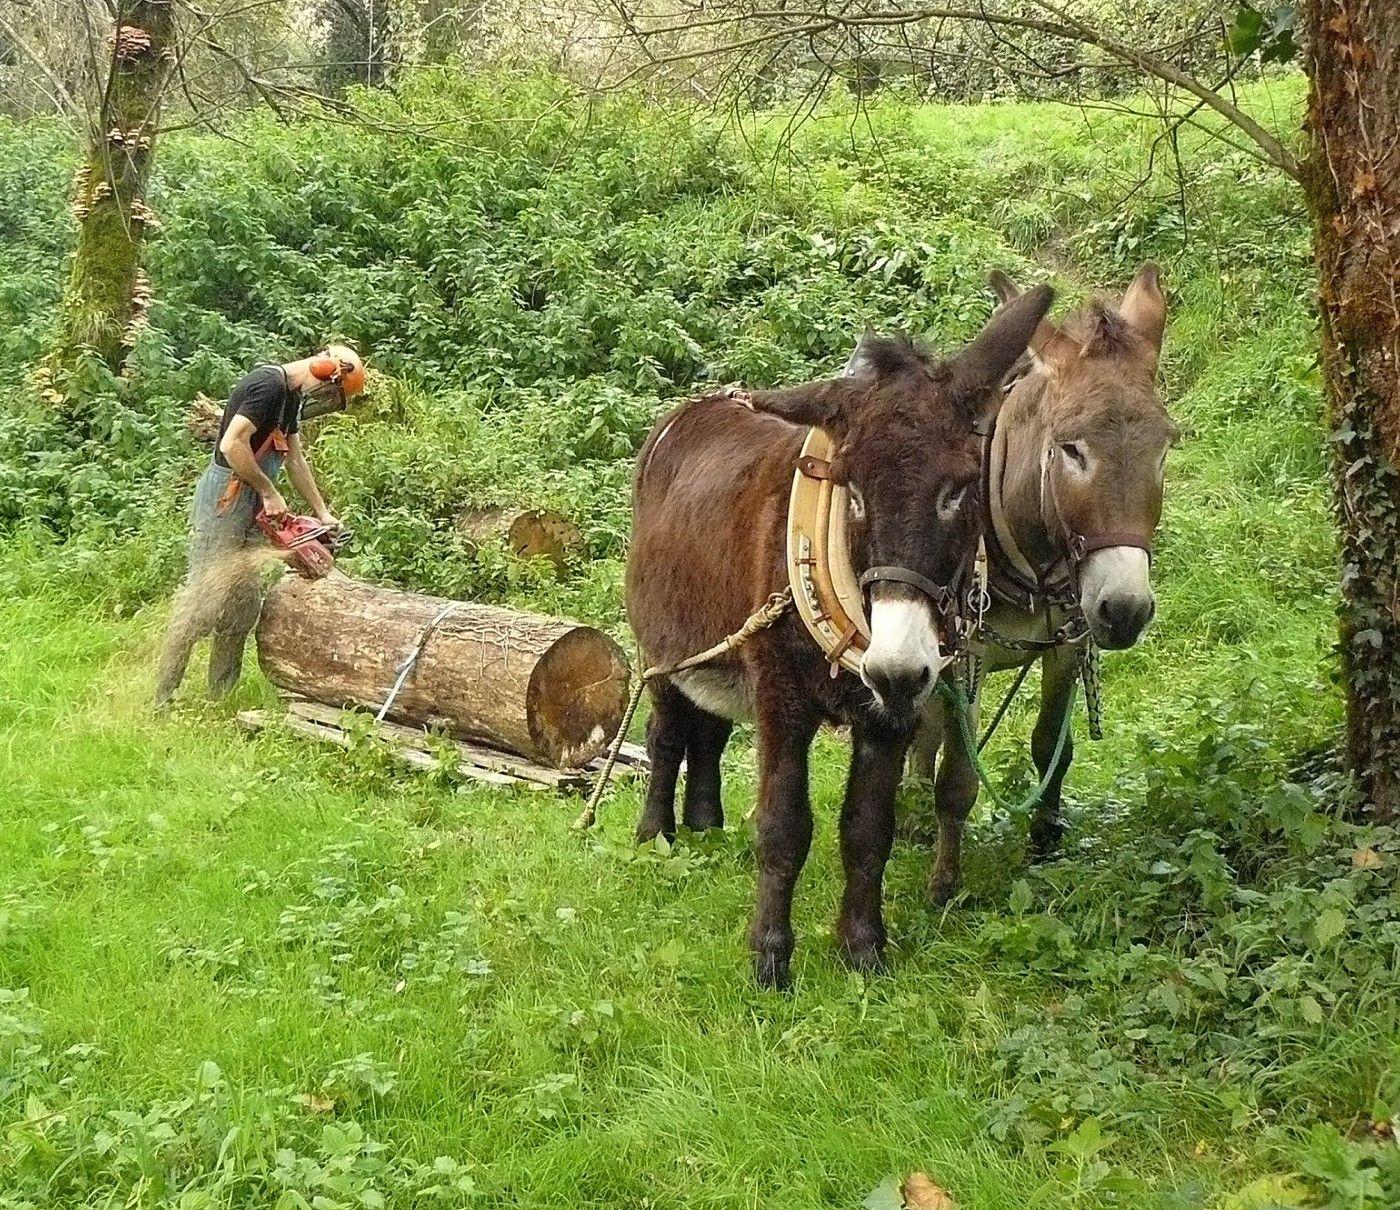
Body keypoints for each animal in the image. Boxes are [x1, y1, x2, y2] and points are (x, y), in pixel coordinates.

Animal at [626, 286, 1054, 988]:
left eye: (959, 490)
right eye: (850, 492)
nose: (896, 668)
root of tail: (695, 406)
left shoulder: (891, 716)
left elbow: (868, 829)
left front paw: (864, 949)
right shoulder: (781, 697)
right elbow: (784, 825)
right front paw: (771, 958)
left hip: (724, 651)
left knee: (709, 731)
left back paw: (706, 827)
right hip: (666, 652)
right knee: (666, 734)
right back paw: (655, 836)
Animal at [903, 264, 1179, 904]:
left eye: (1164, 447)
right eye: (1070, 449)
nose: (1126, 610)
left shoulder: (1069, 642)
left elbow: (1051, 744)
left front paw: (1046, 840)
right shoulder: (968, 658)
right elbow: (959, 775)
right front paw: (945, 884)